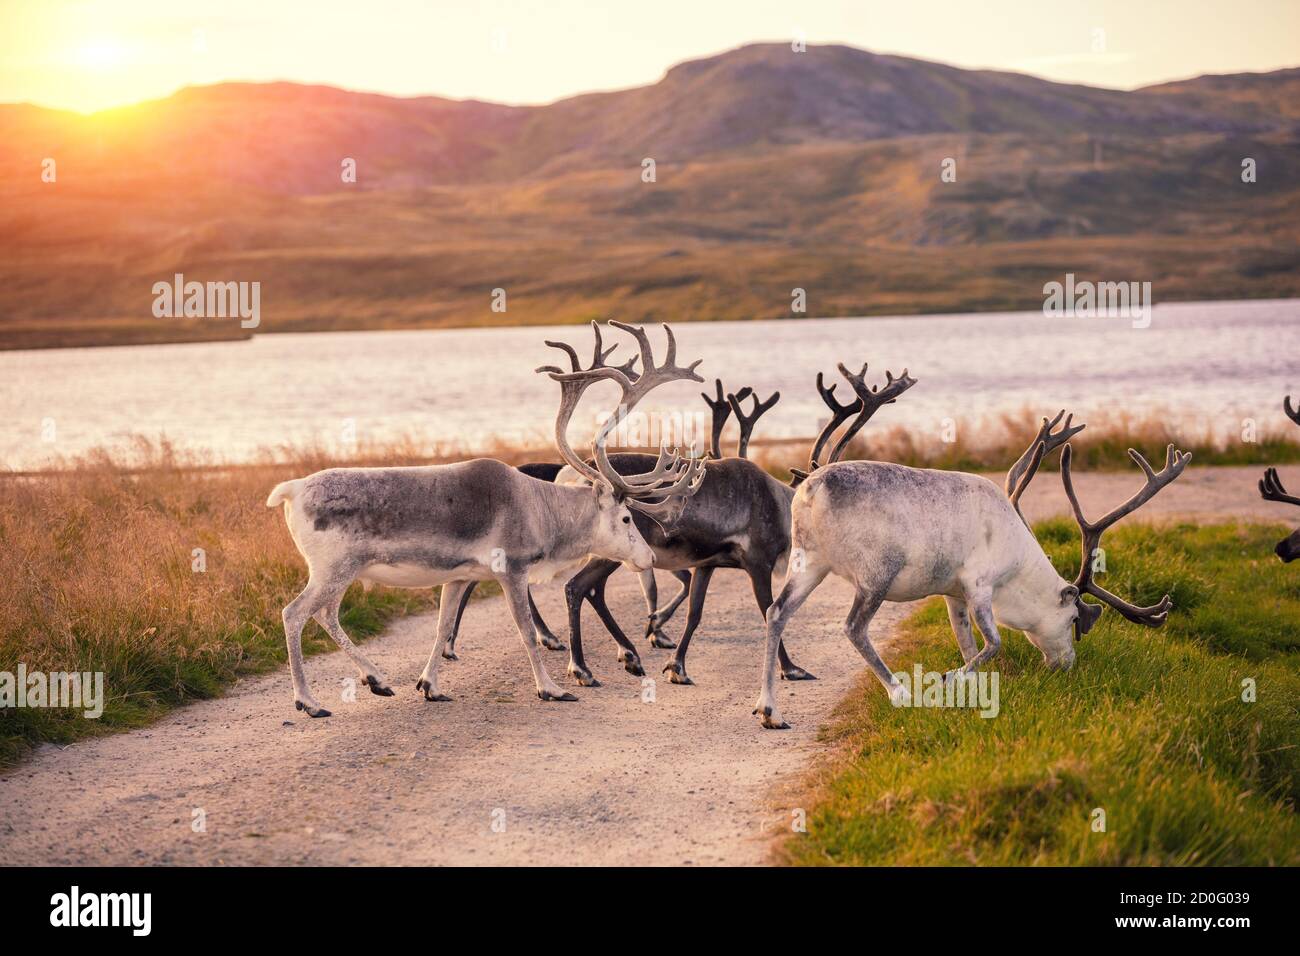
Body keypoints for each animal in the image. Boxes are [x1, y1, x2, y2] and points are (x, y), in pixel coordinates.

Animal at [265, 320, 705, 717]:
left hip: (340, 571)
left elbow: (442, 627)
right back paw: (309, 701)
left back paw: (377, 680)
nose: (649, 558)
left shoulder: (460, 575)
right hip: (334, 567)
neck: (541, 510)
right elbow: (526, 632)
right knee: (295, 613)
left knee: (325, 614)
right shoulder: (512, 568)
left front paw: (430, 686)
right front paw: (551, 688)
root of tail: (291, 490)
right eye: (628, 518)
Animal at [557, 360, 913, 688]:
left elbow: (695, 613)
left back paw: (626, 656)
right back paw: (584, 669)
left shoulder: (707, 563)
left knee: (591, 589)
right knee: (577, 586)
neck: (783, 505)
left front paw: (677, 666)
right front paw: (791, 668)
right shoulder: (758, 560)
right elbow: (769, 611)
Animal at [754, 379, 1192, 729]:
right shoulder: (979, 583)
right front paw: (950, 678)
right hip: (875, 573)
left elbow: (966, 640)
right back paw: (899, 691)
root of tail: (810, 489)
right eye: (1072, 619)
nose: (1066, 665)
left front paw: (972, 686)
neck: (1017, 565)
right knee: (853, 627)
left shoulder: (952, 592)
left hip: (809, 561)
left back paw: (770, 711)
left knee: (776, 611)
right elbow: (994, 642)